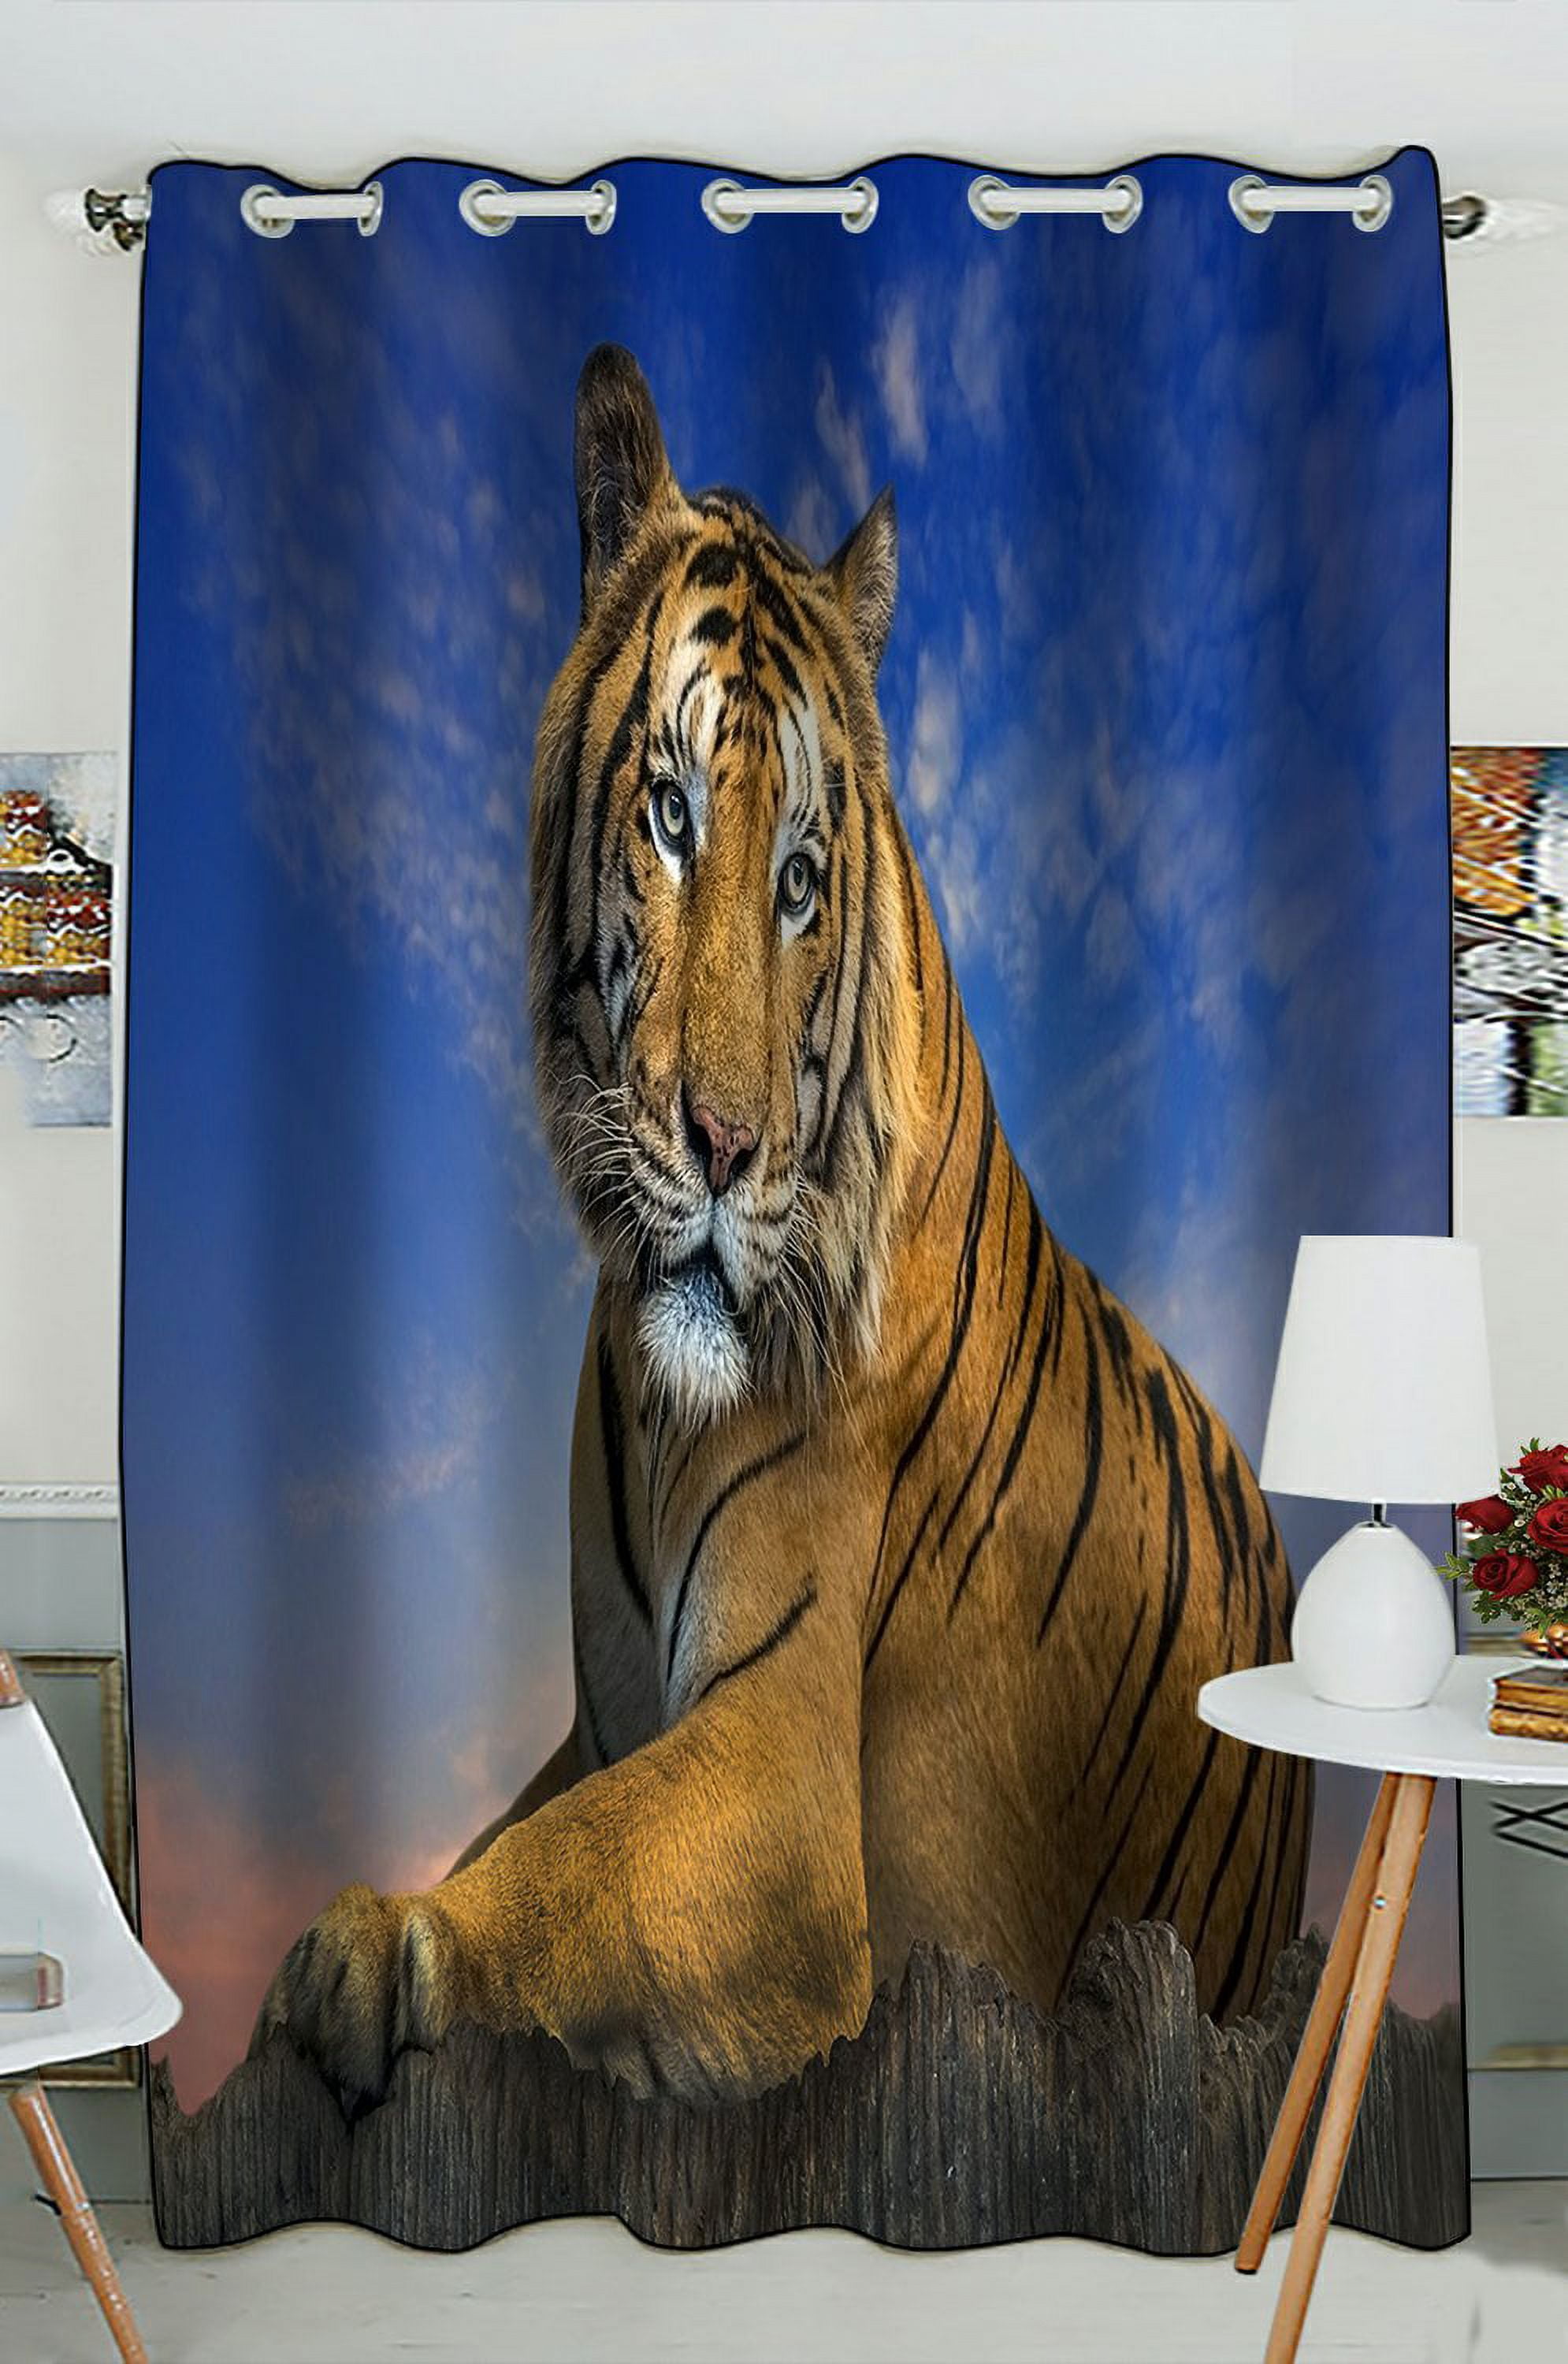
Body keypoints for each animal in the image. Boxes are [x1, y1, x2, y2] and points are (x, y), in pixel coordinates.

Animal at [255, 342, 1310, 2117]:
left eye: (806, 879)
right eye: (671, 816)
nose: (727, 1144)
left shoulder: (782, 1786)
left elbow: (570, 1873)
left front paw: (378, 1948)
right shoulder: (607, 1719)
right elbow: (535, 1823)